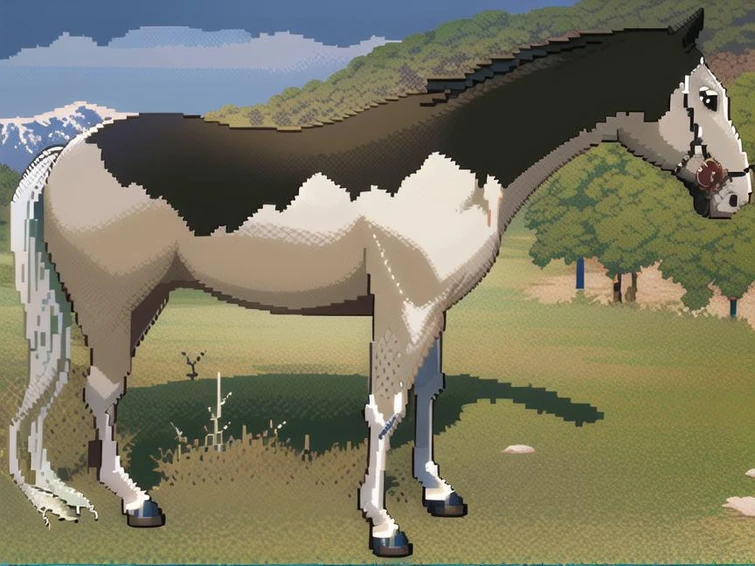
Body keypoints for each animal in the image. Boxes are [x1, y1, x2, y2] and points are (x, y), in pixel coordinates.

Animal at [8, 8, 752, 558]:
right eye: (707, 98)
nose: (736, 196)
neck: (460, 165)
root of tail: (70, 151)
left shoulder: (434, 309)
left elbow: (427, 391)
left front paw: (437, 492)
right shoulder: (405, 306)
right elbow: (384, 407)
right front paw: (384, 525)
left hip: (143, 302)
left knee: (102, 393)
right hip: (113, 302)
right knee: (103, 391)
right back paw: (137, 502)